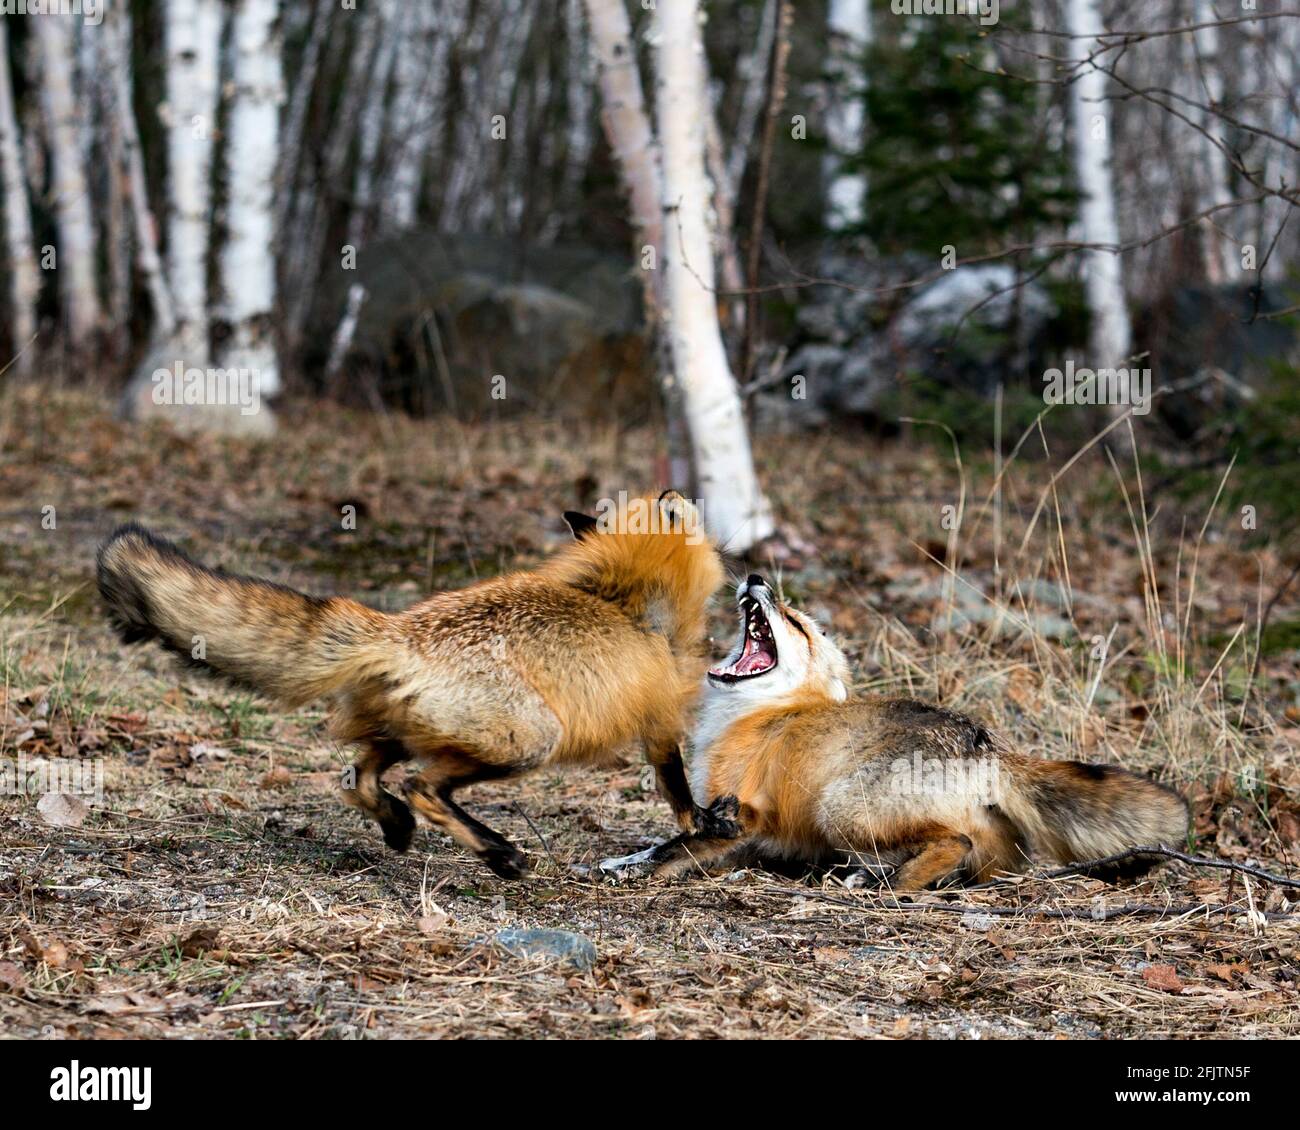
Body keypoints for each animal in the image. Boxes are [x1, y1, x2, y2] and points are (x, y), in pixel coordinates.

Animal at [96, 491, 728, 878]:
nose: (683, 492)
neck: (630, 597)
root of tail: (395, 629)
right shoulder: (660, 719)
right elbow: (675, 784)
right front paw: (699, 822)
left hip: (404, 731)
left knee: (358, 779)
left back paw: (397, 827)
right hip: (528, 741)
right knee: (423, 787)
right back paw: (498, 854)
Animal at [602, 574, 1189, 889]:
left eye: (795, 623)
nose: (757, 580)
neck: (757, 712)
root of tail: (986, 744)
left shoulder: (739, 816)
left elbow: (670, 849)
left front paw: (629, 869)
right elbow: (665, 844)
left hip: (840, 808)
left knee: (951, 842)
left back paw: (892, 887)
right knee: (975, 862)